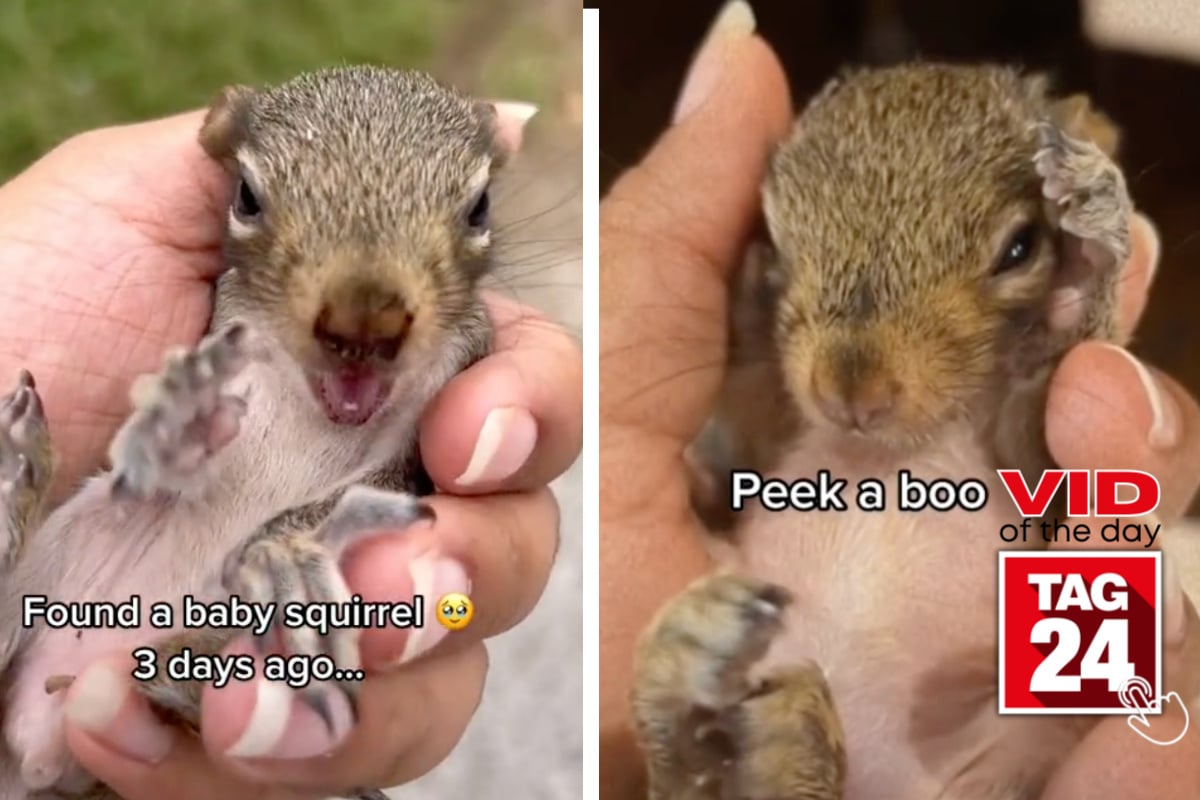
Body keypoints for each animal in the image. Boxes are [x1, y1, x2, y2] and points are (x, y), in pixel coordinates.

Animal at [0, 65, 535, 800]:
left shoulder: (433, 426)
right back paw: (14, 478)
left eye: (479, 207)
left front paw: (282, 551)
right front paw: (177, 432)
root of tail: (34, 755)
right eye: (247, 198)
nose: (364, 318)